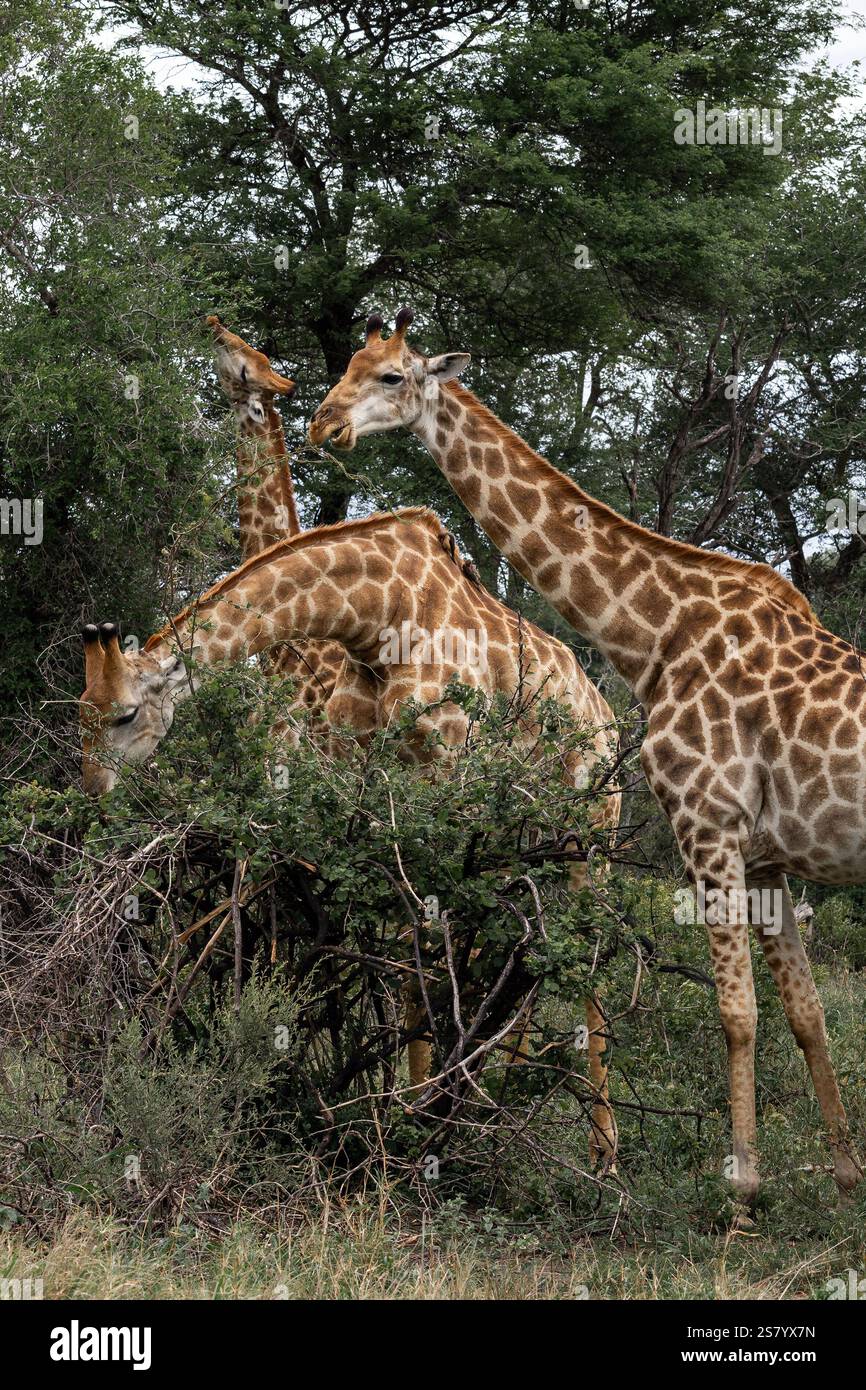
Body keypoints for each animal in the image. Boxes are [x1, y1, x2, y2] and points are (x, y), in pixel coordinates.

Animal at [79, 508, 620, 1166]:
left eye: (126, 713)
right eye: (80, 709)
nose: (92, 794)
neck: (379, 615)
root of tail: (609, 718)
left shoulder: (444, 778)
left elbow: (424, 953)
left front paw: (416, 1120)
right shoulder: (361, 779)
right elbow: (383, 945)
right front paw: (408, 1103)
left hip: (591, 834)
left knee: (588, 956)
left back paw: (603, 1153)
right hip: (522, 838)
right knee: (525, 950)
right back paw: (493, 1100)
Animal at [309, 307, 864, 1206]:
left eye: (391, 375)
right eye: (351, 363)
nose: (321, 423)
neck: (658, 636)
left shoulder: (708, 827)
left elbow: (736, 1013)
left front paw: (742, 1196)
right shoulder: (765, 854)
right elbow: (804, 1011)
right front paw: (847, 1175)